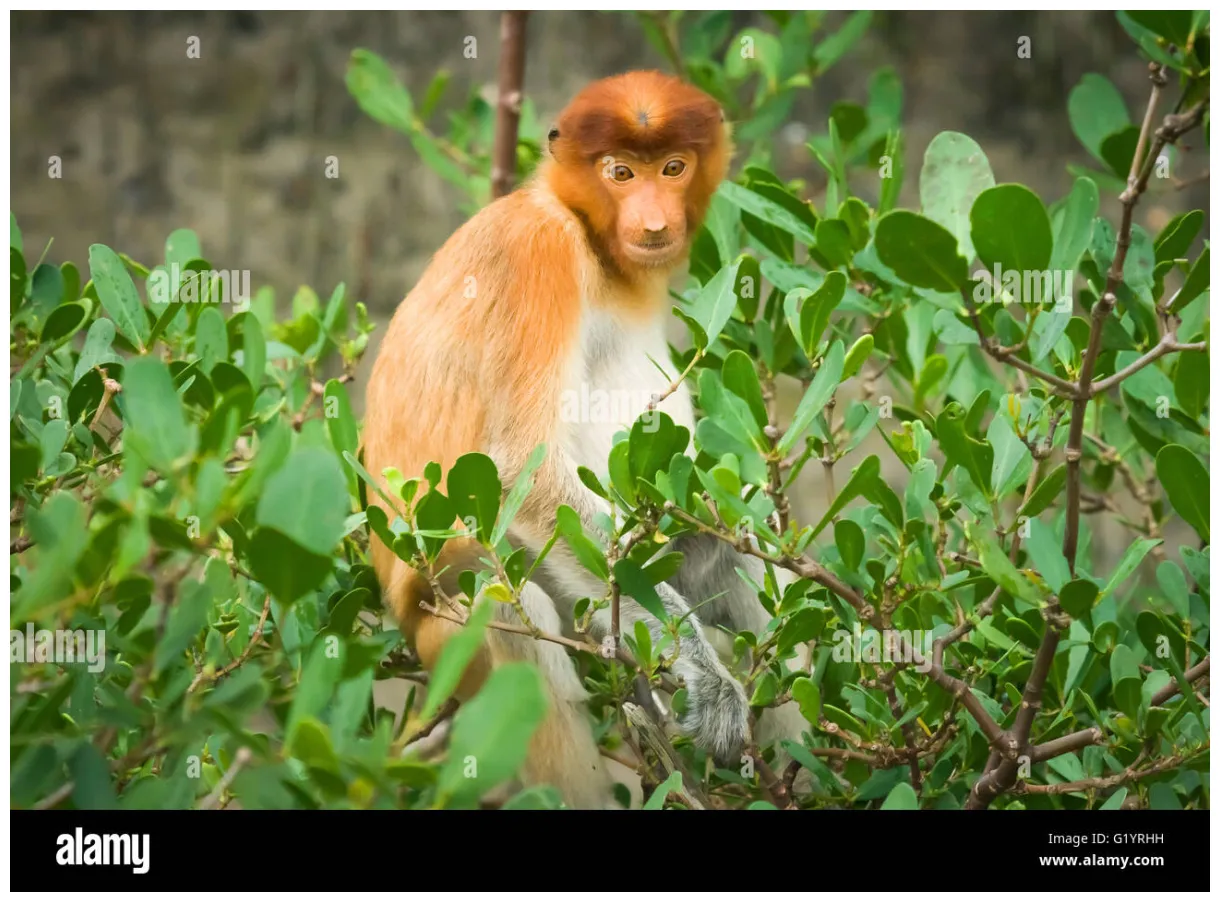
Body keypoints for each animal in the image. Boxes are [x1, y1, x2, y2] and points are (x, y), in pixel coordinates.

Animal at [363, 70, 805, 808]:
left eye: (673, 168)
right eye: (619, 173)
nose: (653, 223)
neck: (592, 242)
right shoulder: (536, 255)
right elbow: (520, 471)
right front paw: (709, 683)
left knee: (724, 547)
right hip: (448, 627)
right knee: (505, 609)